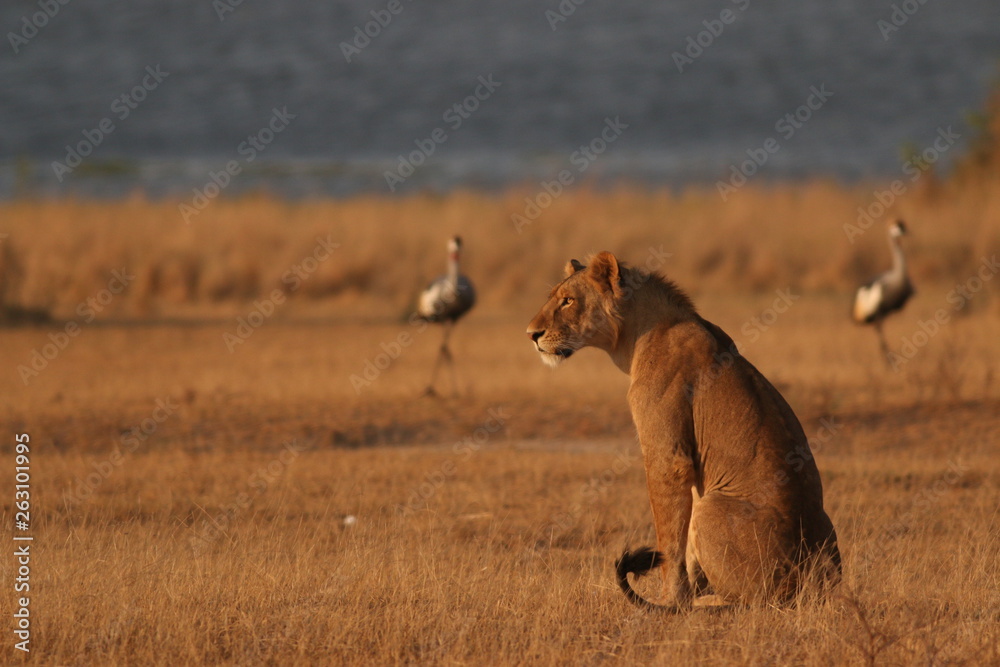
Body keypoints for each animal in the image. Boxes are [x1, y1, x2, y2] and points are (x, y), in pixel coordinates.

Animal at [526, 252, 841, 609]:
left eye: (568, 301)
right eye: (553, 297)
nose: (531, 334)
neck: (635, 336)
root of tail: (811, 579)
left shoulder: (668, 458)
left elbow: (669, 537)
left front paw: (672, 602)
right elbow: (683, 542)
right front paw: (684, 595)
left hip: (713, 508)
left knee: (756, 600)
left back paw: (708, 602)